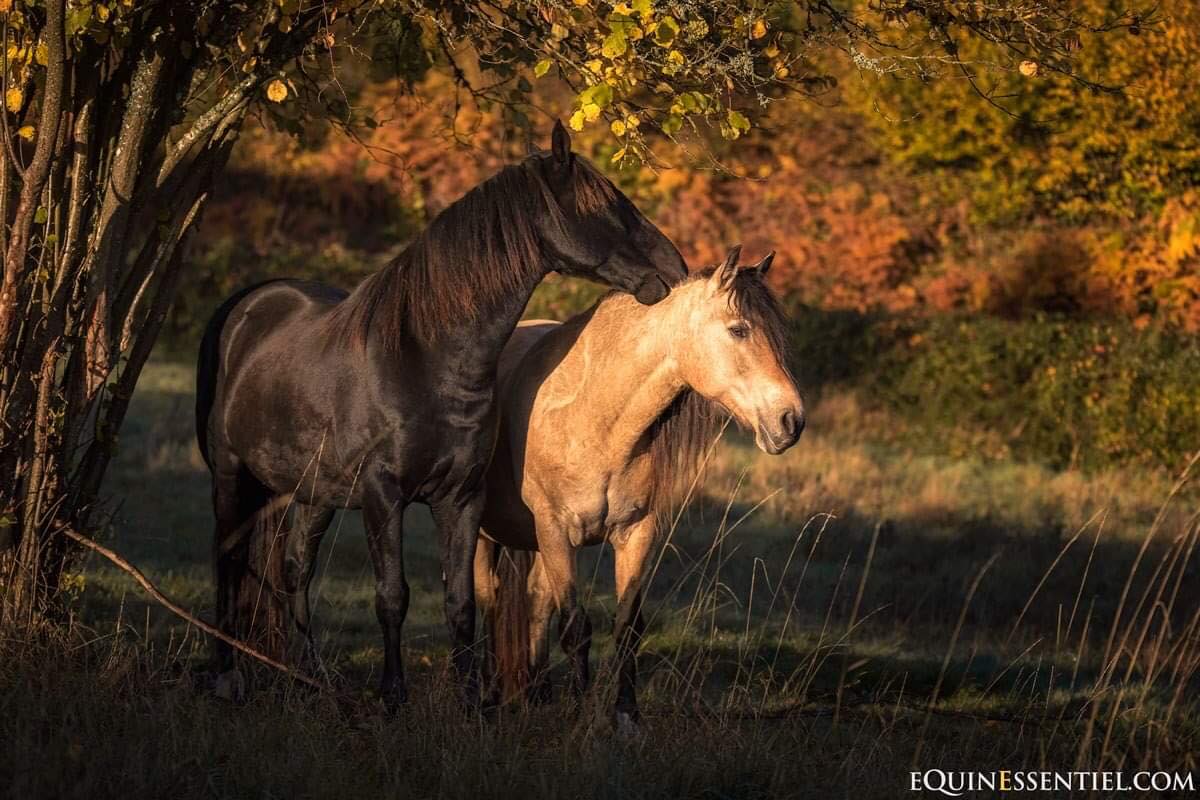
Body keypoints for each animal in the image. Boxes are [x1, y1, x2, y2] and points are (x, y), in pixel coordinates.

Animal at [194, 122, 687, 708]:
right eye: (607, 205)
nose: (676, 269)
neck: (423, 359)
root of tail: (247, 304)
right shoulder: (383, 496)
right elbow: (392, 596)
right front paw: (393, 696)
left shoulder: (460, 498)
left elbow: (461, 604)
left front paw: (472, 700)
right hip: (232, 478)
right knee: (226, 560)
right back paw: (226, 675)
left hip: (313, 491)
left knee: (295, 567)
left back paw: (311, 676)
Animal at [473, 245, 804, 731]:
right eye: (739, 329)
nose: (791, 421)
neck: (594, 416)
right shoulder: (555, 532)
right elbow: (576, 627)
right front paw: (582, 716)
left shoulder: (635, 534)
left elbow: (628, 627)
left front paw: (627, 717)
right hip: (486, 535)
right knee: (488, 602)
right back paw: (488, 697)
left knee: (534, 602)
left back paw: (536, 696)